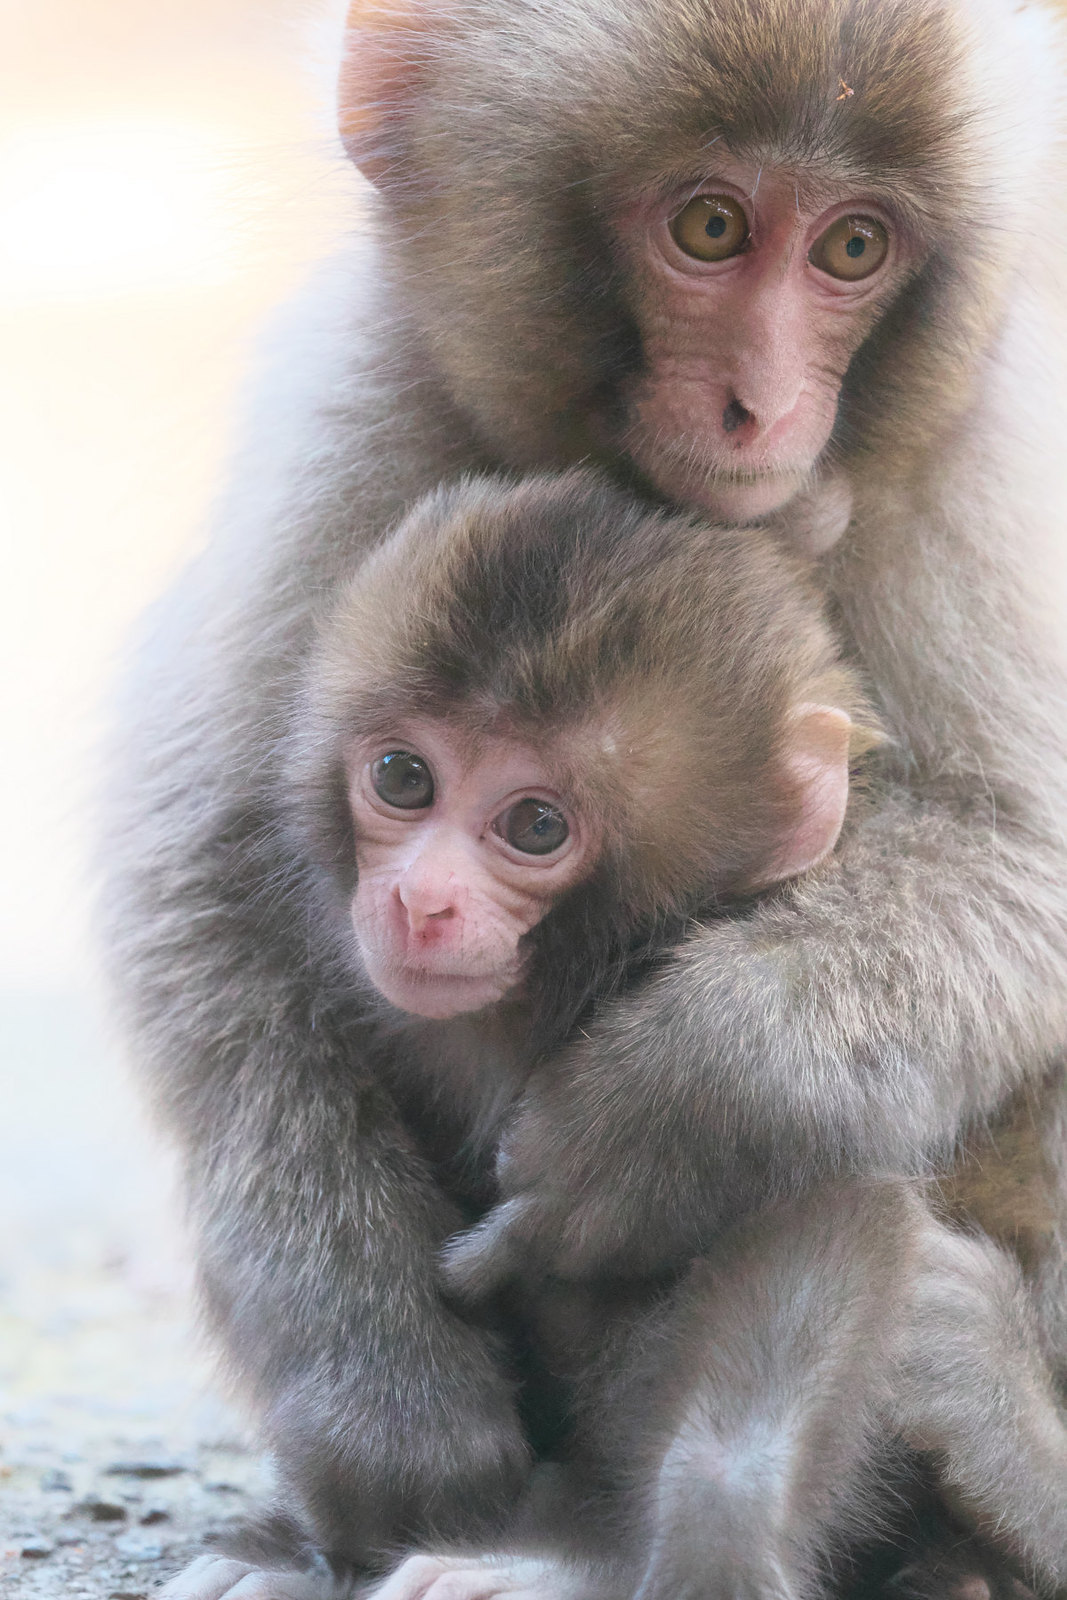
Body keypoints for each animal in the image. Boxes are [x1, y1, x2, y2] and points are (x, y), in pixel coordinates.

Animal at [102, 0, 1067, 1593]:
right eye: (709, 226)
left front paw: (664, 1112)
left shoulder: (977, 460)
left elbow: (1022, 856)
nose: (761, 408)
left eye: (850, 250)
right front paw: (377, 1385)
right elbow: (208, 860)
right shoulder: (357, 397)